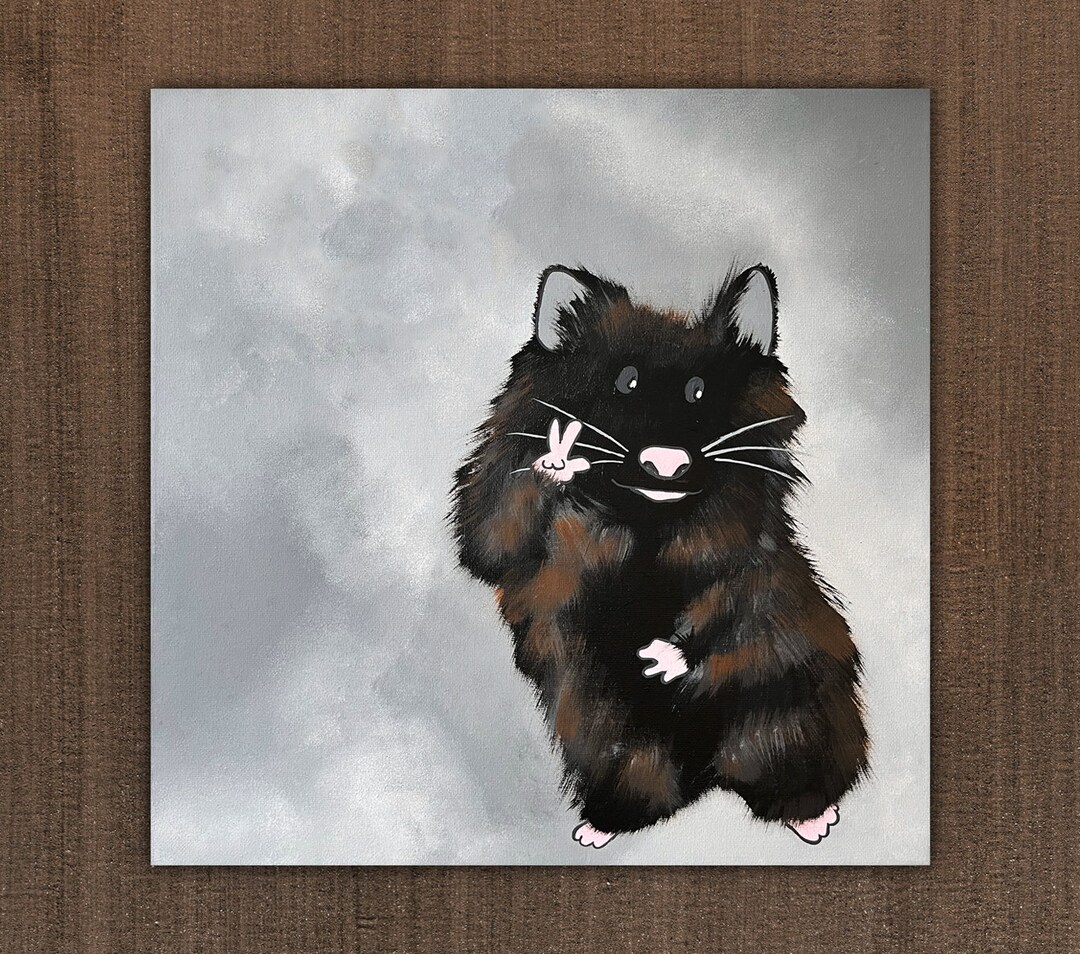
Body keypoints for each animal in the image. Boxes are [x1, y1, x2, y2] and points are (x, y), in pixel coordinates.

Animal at [449, 264, 868, 848]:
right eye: (625, 382)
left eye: (699, 392)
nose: (665, 465)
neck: (646, 521)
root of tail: (708, 774)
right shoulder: (494, 517)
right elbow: (488, 537)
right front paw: (559, 458)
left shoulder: (749, 560)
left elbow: (727, 597)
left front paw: (659, 658)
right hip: (604, 733)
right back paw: (597, 827)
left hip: (789, 713)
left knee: (787, 765)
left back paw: (814, 819)